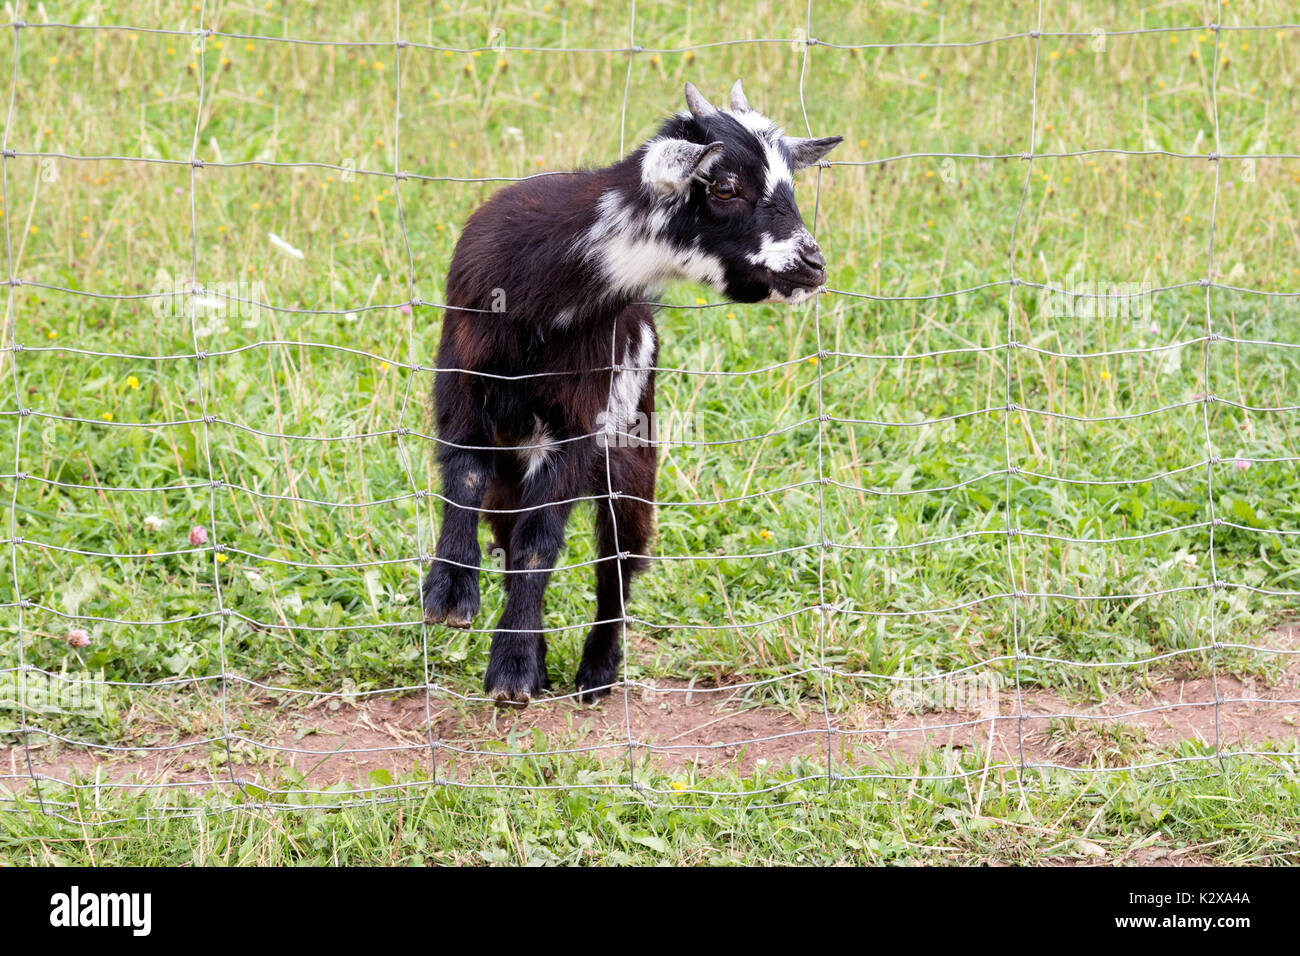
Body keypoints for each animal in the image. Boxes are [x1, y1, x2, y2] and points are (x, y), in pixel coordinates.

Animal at [422, 80, 841, 706]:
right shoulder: (462, 383)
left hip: (632, 452)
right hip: (515, 462)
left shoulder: (581, 419)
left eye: (790, 181)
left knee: (618, 560)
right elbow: (468, 482)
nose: (812, 264)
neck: (542, 297)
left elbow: (540, 543)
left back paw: (597, 670)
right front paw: (450, 592)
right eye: (724, 186)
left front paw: (513, 667)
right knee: (510, 531)